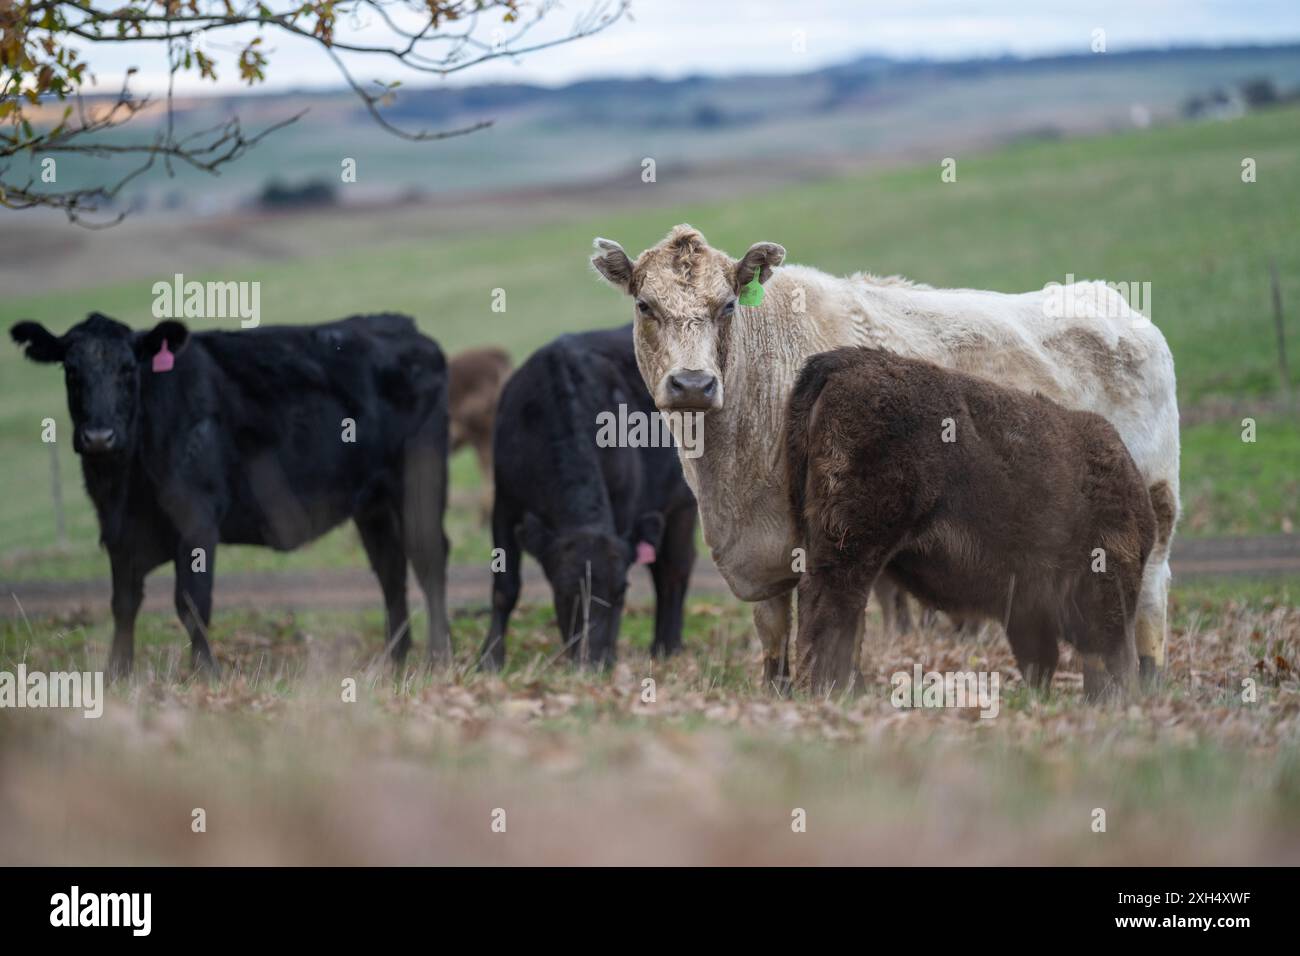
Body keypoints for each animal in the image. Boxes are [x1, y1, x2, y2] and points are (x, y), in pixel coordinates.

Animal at [10, 312, 451, 679]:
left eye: (127, 369)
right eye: (71, 371)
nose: (99, 437)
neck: (124, 483)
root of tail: (406, 328)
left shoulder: (197, 521)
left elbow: (192, 602)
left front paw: (206, 675)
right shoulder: (120, 534)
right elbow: (123, 604)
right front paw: (116, 675)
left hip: (420, 479)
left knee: (428, 557)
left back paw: (438, 656)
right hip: (372, 502)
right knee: (391, 568)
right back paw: (393, 660)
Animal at [482, 324, 697, 669]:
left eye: (621, 593)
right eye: (564, 592)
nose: (592, 661)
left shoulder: (625, 507)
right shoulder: (504, 502)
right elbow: (506, 587)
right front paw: (490, 658)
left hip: (683, 504)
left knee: (674, 569)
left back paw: (667, 647)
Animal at [786, 346, 1164, 699]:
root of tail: (843, 364)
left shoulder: (1028, 608)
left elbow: (1044, 660)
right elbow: (1104, 653)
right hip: (856, 544)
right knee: (830, 606)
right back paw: (829, 689)